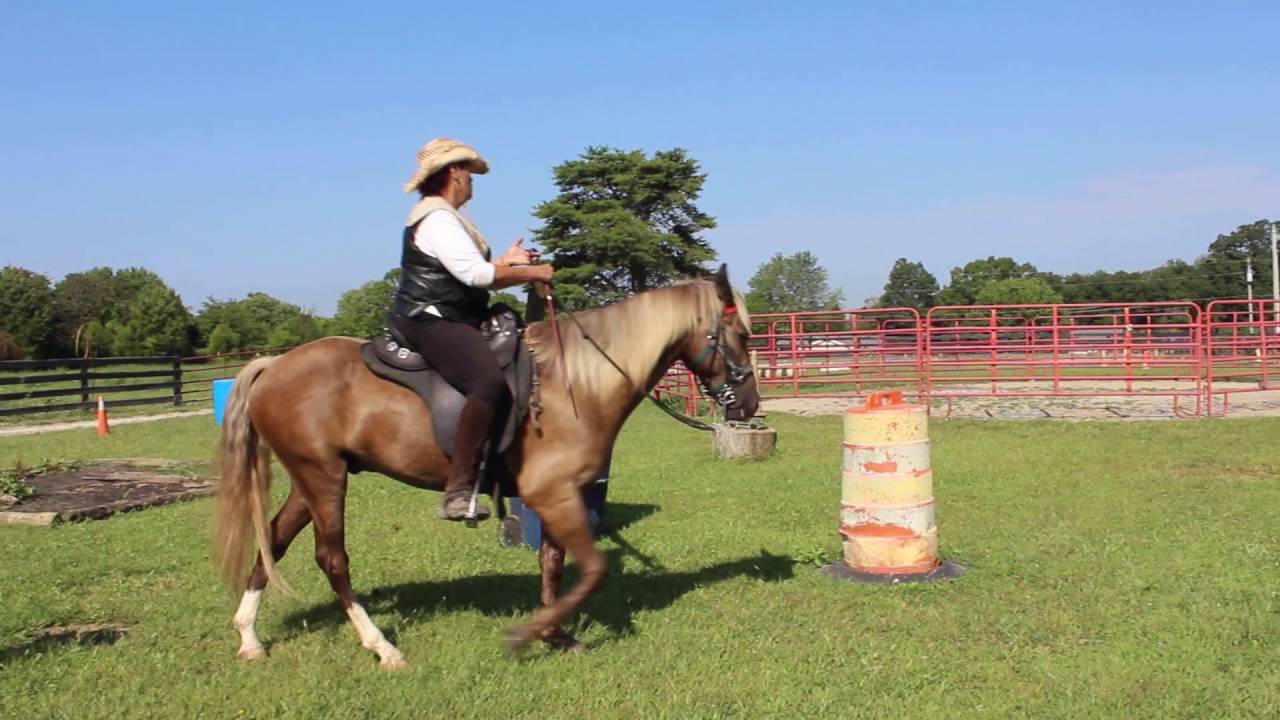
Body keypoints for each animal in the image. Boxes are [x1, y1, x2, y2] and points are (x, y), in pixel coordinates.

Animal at [213, 265, 760, 668]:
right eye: (740, 333)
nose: (750, 404)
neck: (577, 384)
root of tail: (274, 365)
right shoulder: (552, 494)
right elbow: (592, 568)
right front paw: (528, 635)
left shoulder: (559, 495)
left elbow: (553, 566)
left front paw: (555, 634)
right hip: (323, 477)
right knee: (331, 558)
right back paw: (382, 646)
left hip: (312, 478)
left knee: (274, 540)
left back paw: (248, 636)